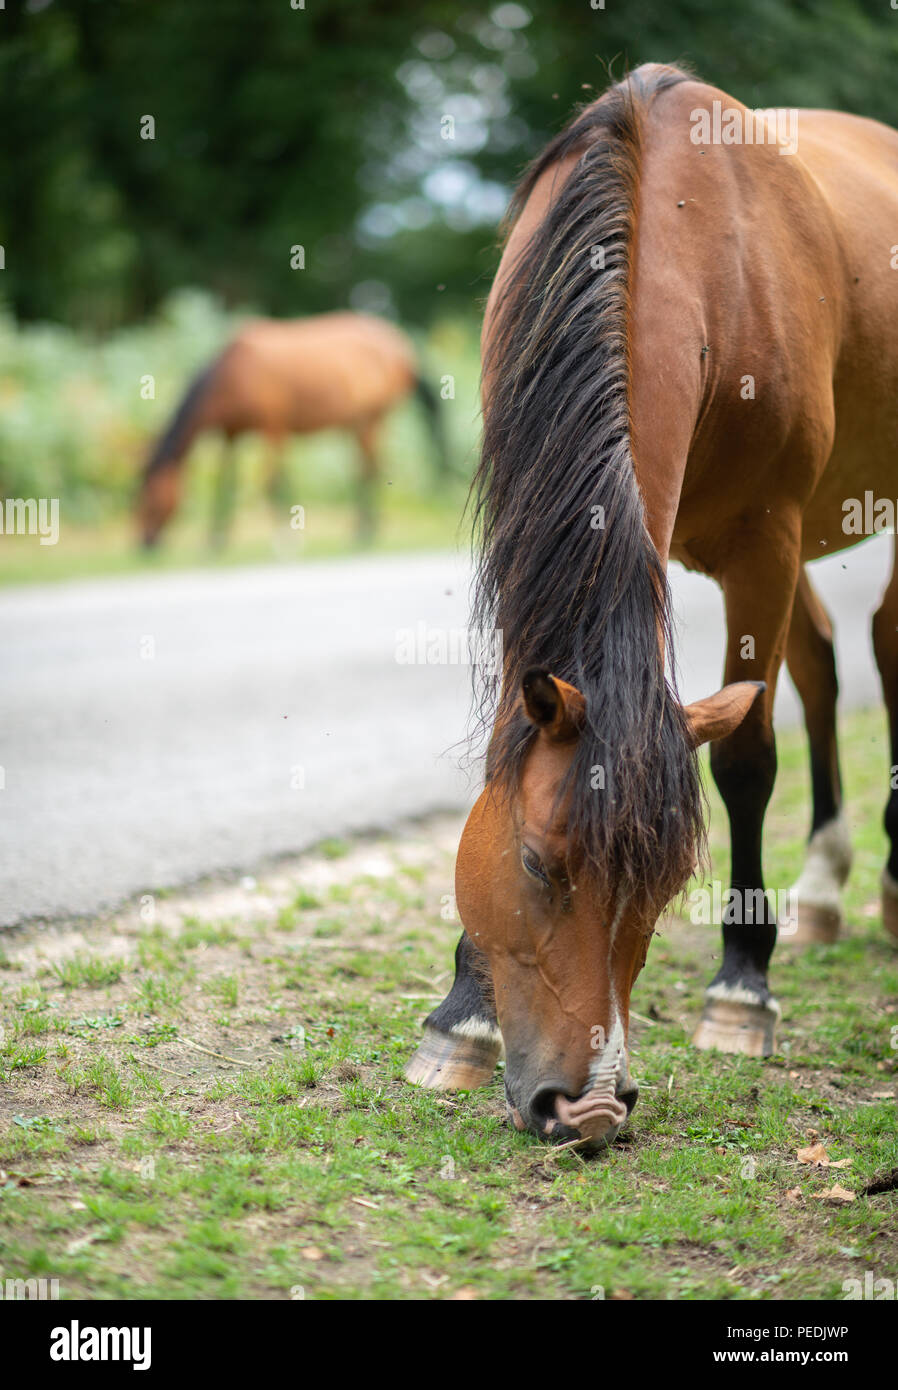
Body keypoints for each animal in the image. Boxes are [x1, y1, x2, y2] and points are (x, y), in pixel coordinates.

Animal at [135, 311, 449, 549]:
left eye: (149, 499)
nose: (144, 545)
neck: (232, 374)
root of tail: (400, 345)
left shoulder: (273, 429)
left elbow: (272, 482)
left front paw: (286, 539)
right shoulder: (231, 434)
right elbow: (226, 484)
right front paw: (216, 541)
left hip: (371, 421)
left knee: (369, 470)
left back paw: (363, 533)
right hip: (360, 425)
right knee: (366, 468)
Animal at [406, 63, 898, 1148]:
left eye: (668, 884)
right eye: (537, 865)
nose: (586, 1105)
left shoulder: (766, 539)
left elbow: (748, 758)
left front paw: (741, 990)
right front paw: (463, 1014)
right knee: (828, 658)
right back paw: (824, 885)